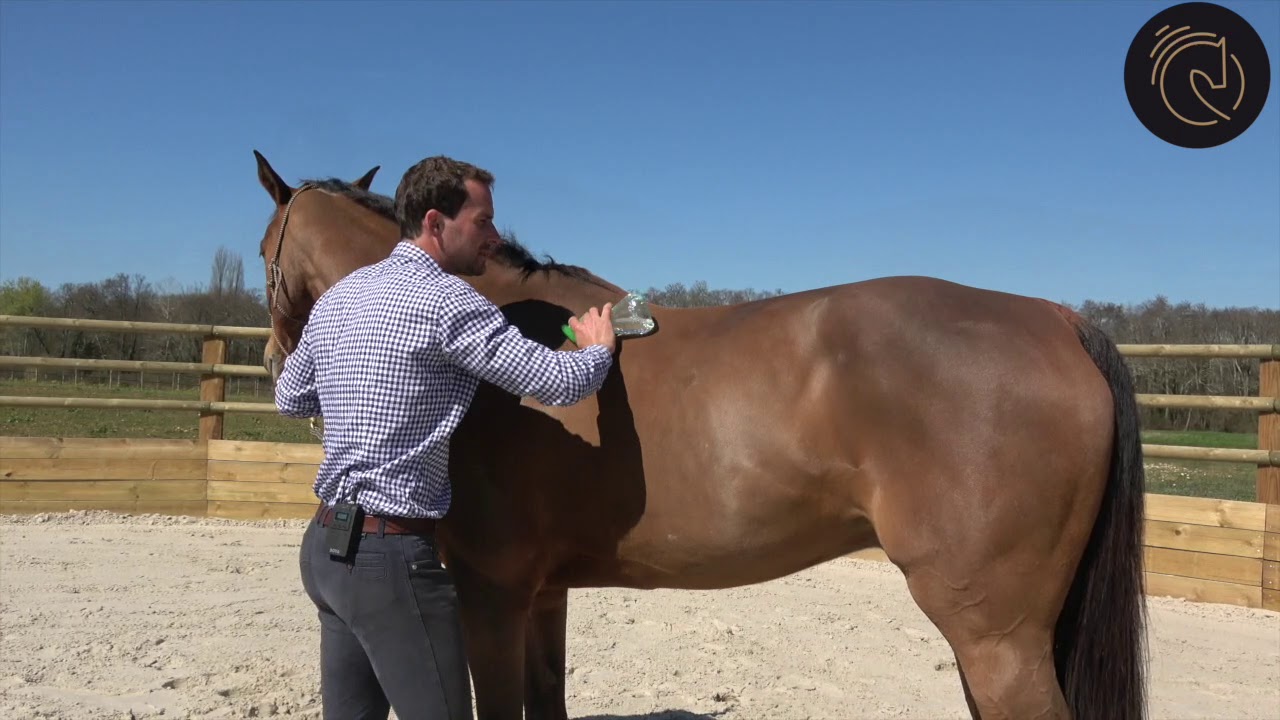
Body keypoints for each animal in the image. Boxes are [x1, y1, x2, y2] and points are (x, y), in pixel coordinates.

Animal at [252, 150, 1148, 720]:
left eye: (264, 252)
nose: (277, 364)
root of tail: (1055, 319)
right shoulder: (542, 594)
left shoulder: (490, 591)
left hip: (997, 639)